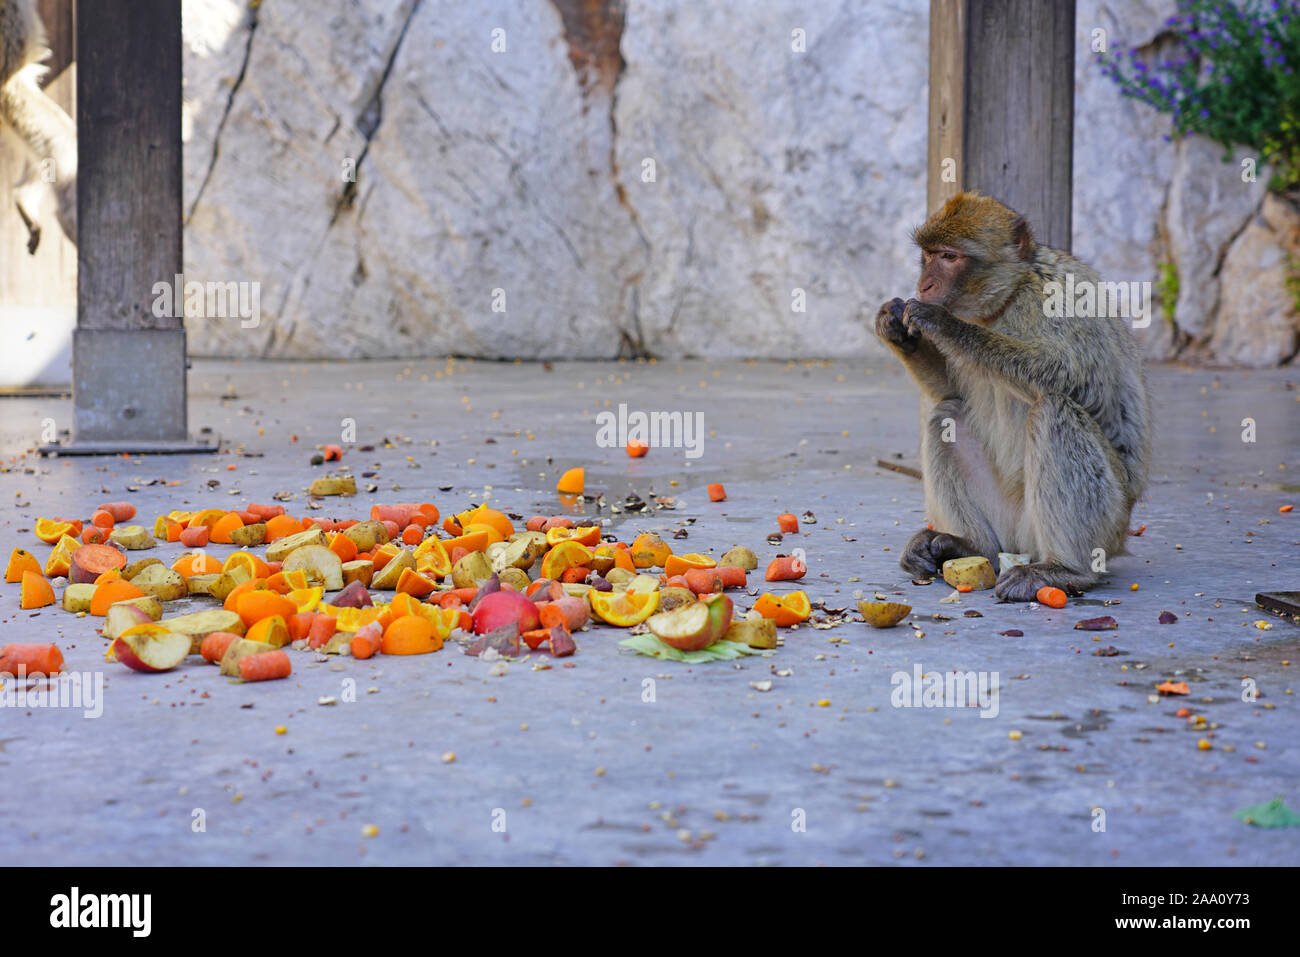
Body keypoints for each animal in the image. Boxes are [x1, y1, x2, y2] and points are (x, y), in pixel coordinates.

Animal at [874, 191, 1150, 601]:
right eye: (928, 254)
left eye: (949, 257)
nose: (924, 285)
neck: (1008, 296)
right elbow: (951, 391)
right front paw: (893, 325)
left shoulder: (1060, 299)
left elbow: (1078, 381)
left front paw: (943, 325)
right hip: (1008, 522)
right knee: (947, 414)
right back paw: (971, 545)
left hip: (1106, 523)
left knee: (1053, 409)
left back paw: (1066, 569)